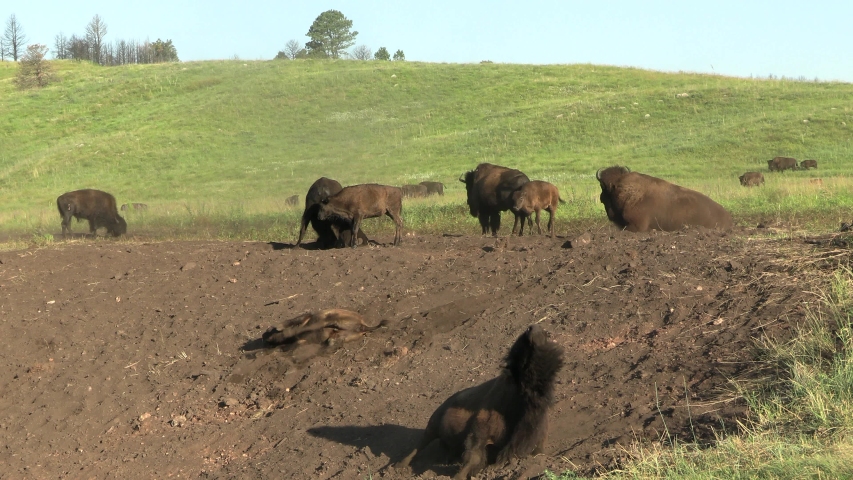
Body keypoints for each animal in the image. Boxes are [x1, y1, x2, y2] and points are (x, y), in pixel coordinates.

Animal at [394, 325, 564, 480]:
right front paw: (459, 477)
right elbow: (473, 457)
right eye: (519, 349)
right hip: (432, 426)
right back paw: (399, 466)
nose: (533, 328)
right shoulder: (479, 433)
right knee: (420, 444)